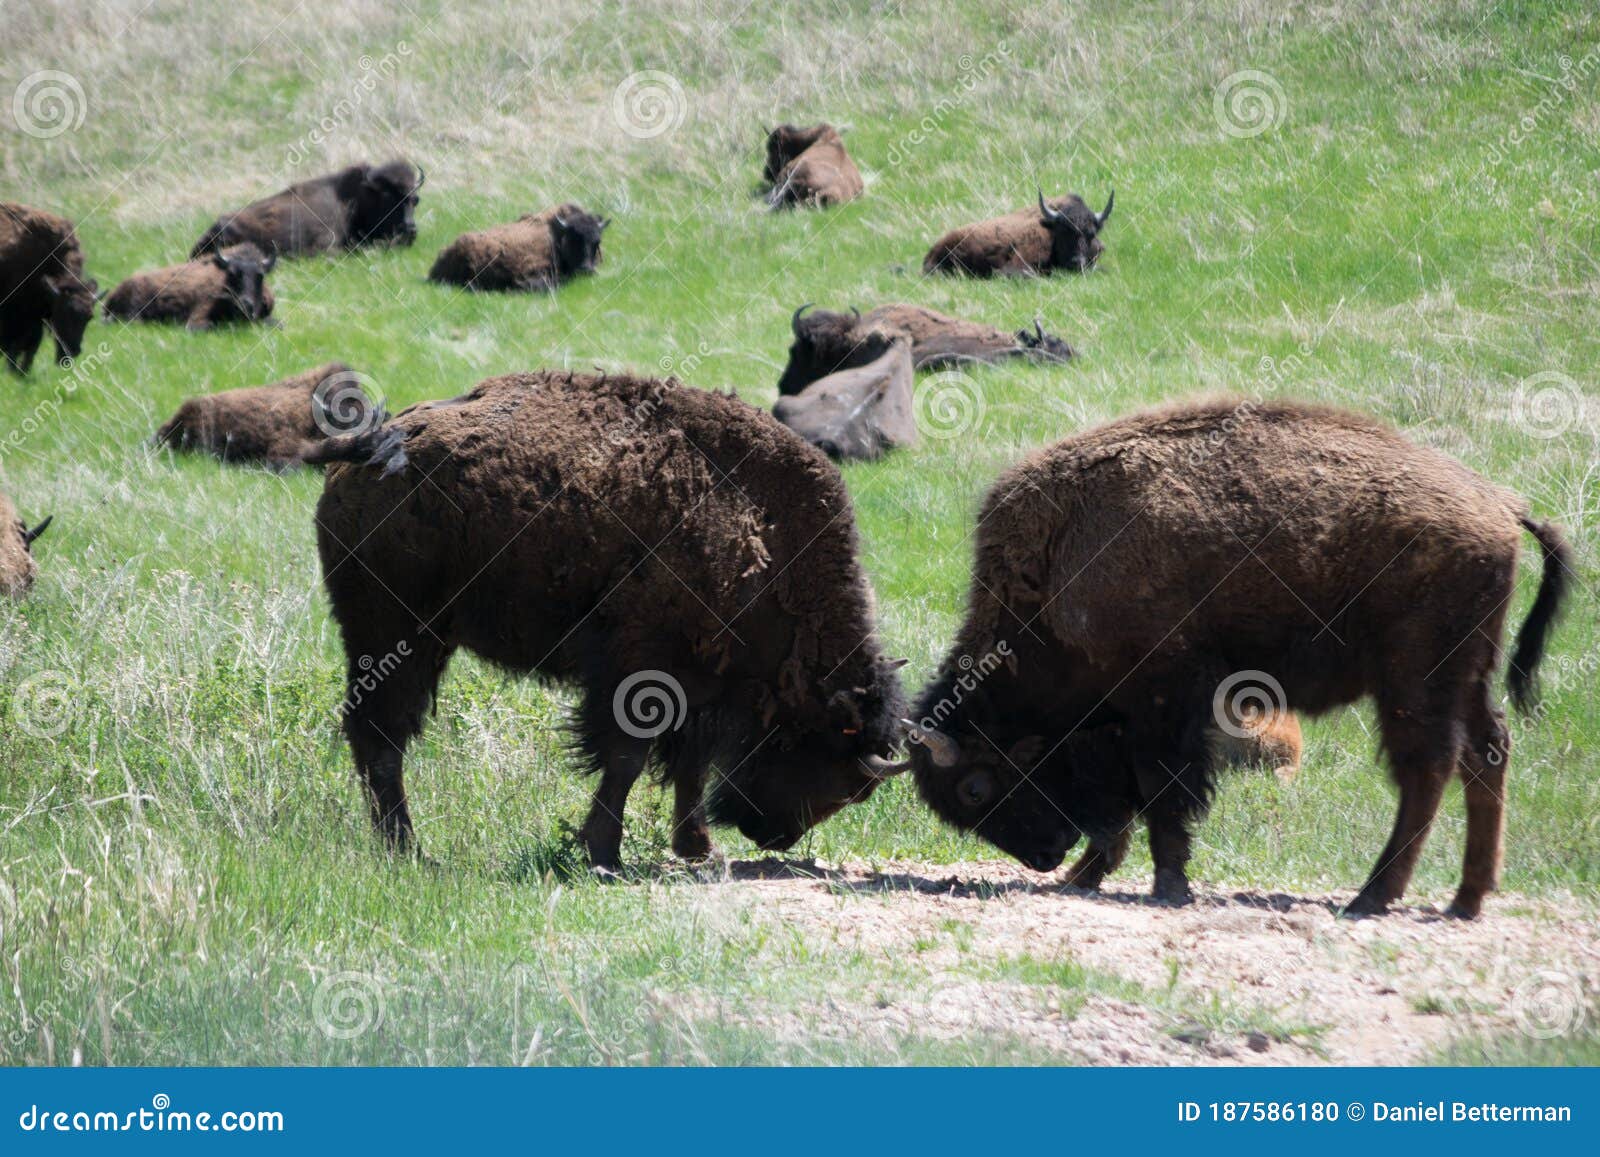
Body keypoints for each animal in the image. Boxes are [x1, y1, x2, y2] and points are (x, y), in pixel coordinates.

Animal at [0, 202, 98, 375]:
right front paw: (14, 371)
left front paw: (23, 372)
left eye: (90, 317)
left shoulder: (37, 316)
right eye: (63, 314)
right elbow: (15, 345)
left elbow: (31, 346)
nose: (73, 350)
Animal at [308, 370, 910, 872]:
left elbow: (687, 766)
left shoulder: (699, 687)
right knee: (381, 731)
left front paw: (698, 850)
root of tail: (371, 451)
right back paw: (408, 850)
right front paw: (604, 855)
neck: (764, 527)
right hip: (395, 633)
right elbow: (626, 758)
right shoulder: (640, 672)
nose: (773, 836)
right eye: (829, 763)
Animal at [908, 398, 1569, 919]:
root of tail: (1501, 506)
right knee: (1486, 753)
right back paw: (1465, 899)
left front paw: (1168, 886)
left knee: (1427, 770)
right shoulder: (1127, 718)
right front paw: (1087, 877)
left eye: (974, 788)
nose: (1045, 858)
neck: (1054, 565)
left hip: (1415, 680)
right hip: (1467, 676)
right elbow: (1129, 800)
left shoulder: (1163, 700)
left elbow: (1160, 790)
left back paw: (1372, 897)